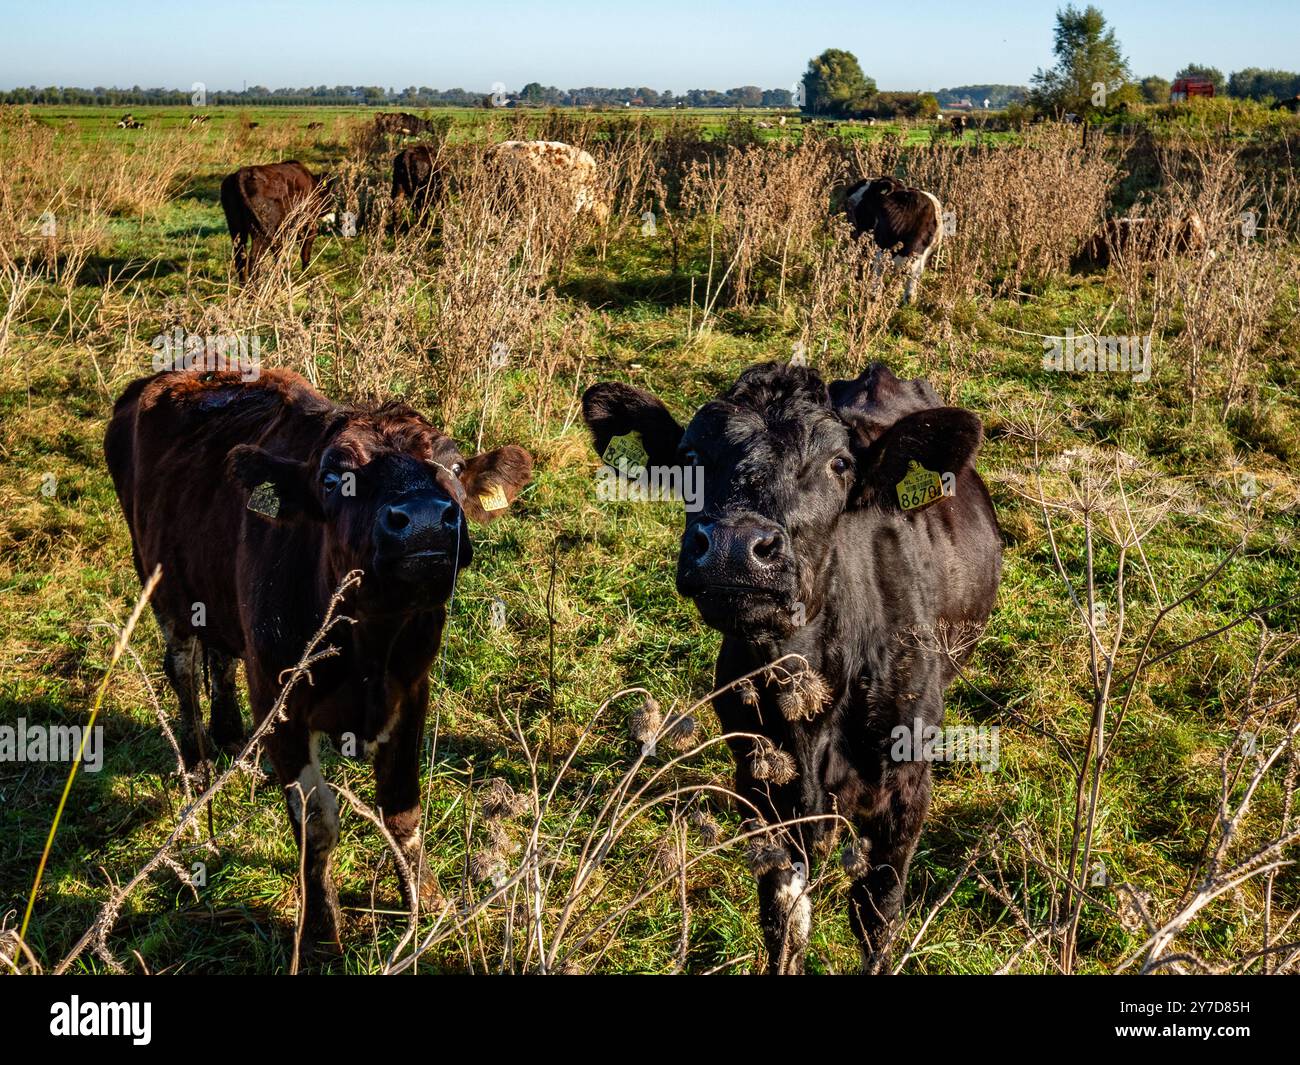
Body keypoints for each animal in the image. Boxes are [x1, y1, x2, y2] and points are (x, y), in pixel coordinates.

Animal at [104, 368, 533, 953]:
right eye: (333, 478)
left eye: (451, 466)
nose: (424, 521)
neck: (370, 640)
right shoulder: (280, 697)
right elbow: (316, 823)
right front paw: (321, 930)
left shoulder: (412, 691)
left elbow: (402, 808)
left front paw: (426, 902)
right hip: (162, 585)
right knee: (185, 669)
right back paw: (198, 765)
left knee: (221, 659)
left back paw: (232, 736)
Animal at [582, 362, 1002, 973]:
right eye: (689, 455)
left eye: (840, 463)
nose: (734, 547)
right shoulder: (762, 783)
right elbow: (784, 917)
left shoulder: (906, 788)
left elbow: (878, 914)